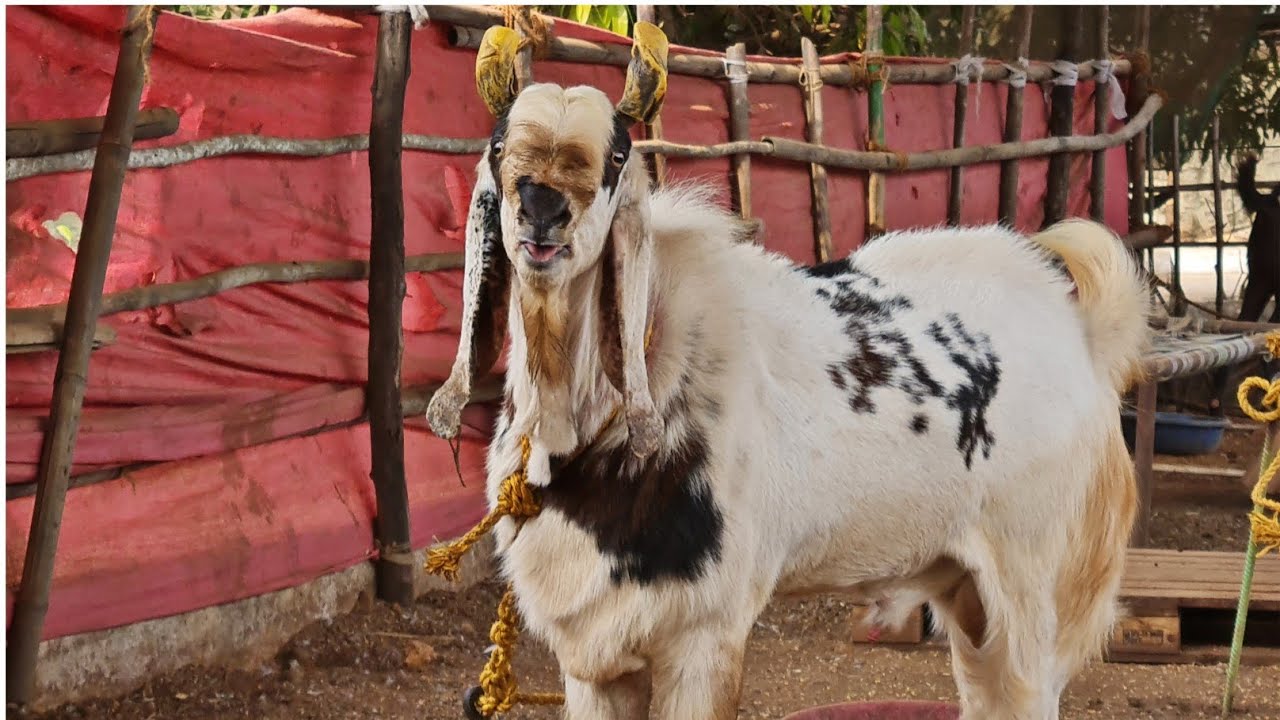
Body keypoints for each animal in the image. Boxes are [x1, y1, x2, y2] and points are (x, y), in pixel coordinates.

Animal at [427, 24, 1151, 720]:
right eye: (497, 145)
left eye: (616, 156)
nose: (542, 208)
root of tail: (1085, 329)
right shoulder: (593, 655)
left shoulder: (705, 634)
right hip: (968, 591)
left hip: (1039, 592)